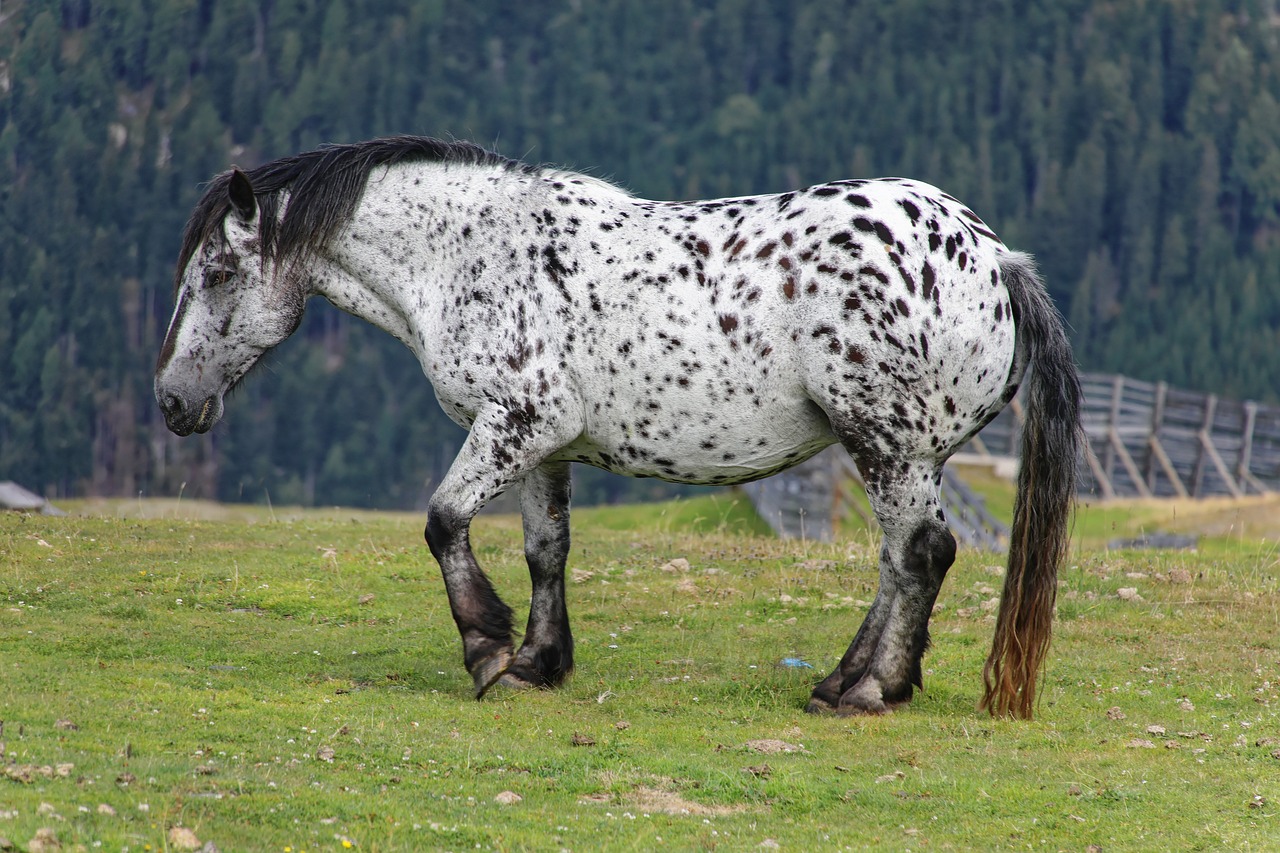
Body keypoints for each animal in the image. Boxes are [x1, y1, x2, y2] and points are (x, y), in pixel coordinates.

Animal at [155, 136, 1082, 719]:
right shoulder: (542, 445)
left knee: (920, 553)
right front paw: (538, 662)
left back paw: (867, 690)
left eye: (220, 271)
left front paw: (486, 649)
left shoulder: (515, 422)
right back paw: (843, 678)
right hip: (903, 453)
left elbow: (443, 520)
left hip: (888, 445)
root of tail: (996, 259)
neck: (470, 254)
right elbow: (546, 550)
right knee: (900, 559)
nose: (170, 400)